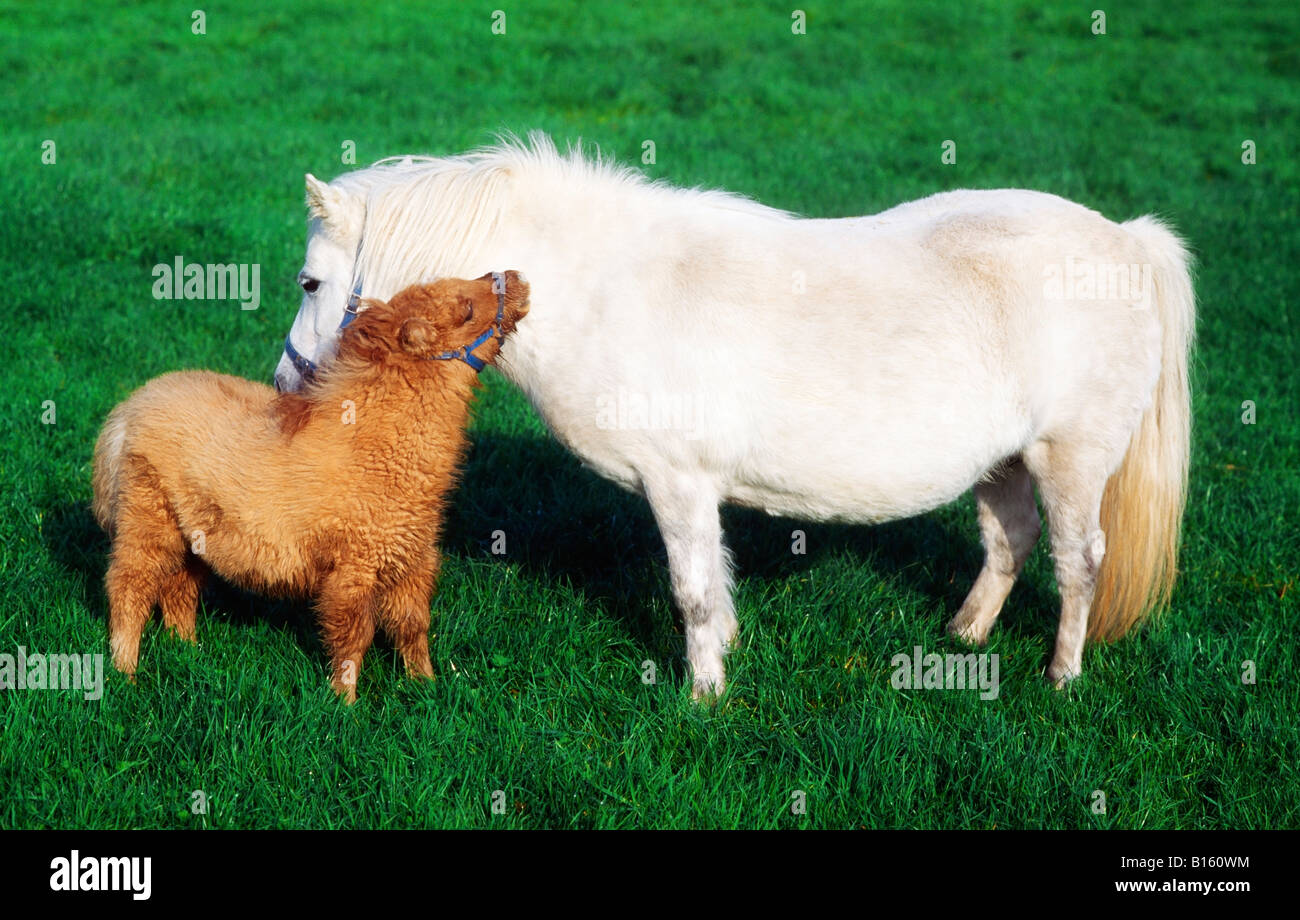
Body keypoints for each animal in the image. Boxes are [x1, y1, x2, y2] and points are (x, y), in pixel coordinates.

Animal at [274, 133, 1194, 699]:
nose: (287, 384)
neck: (603, 287)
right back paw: (965, 638)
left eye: (311, 281)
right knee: (1010, 541)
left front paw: (703, 696)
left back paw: (1062, 675)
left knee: (1079, 562)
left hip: (1071, 459)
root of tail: (1126, 242)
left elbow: (691, 591)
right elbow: (714, 586)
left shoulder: (677, 483)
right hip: (1004, 461)